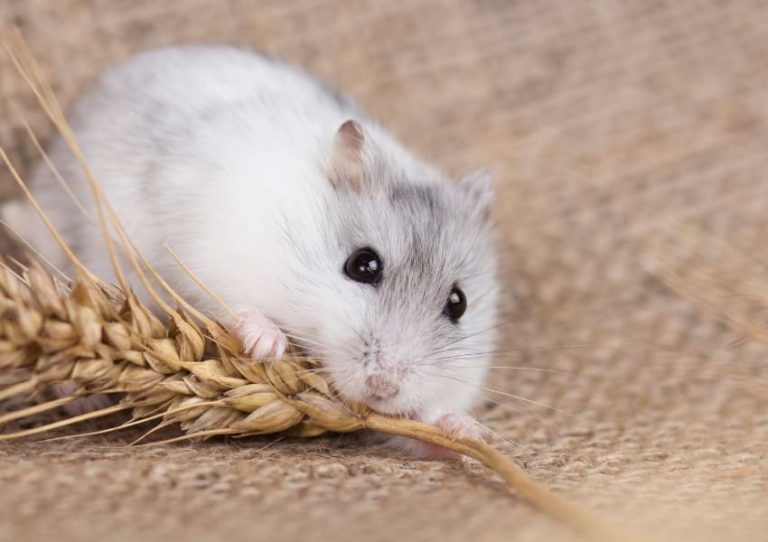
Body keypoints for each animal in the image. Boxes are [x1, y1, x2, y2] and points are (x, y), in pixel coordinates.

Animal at [4, 46, 499, 455]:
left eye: (458, 304)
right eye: (363, 265)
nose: (383, 387)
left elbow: (421, 428)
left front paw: (466, 433)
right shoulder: (211, 251)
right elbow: (231, 304)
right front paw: (266, 345)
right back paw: (77, 396)